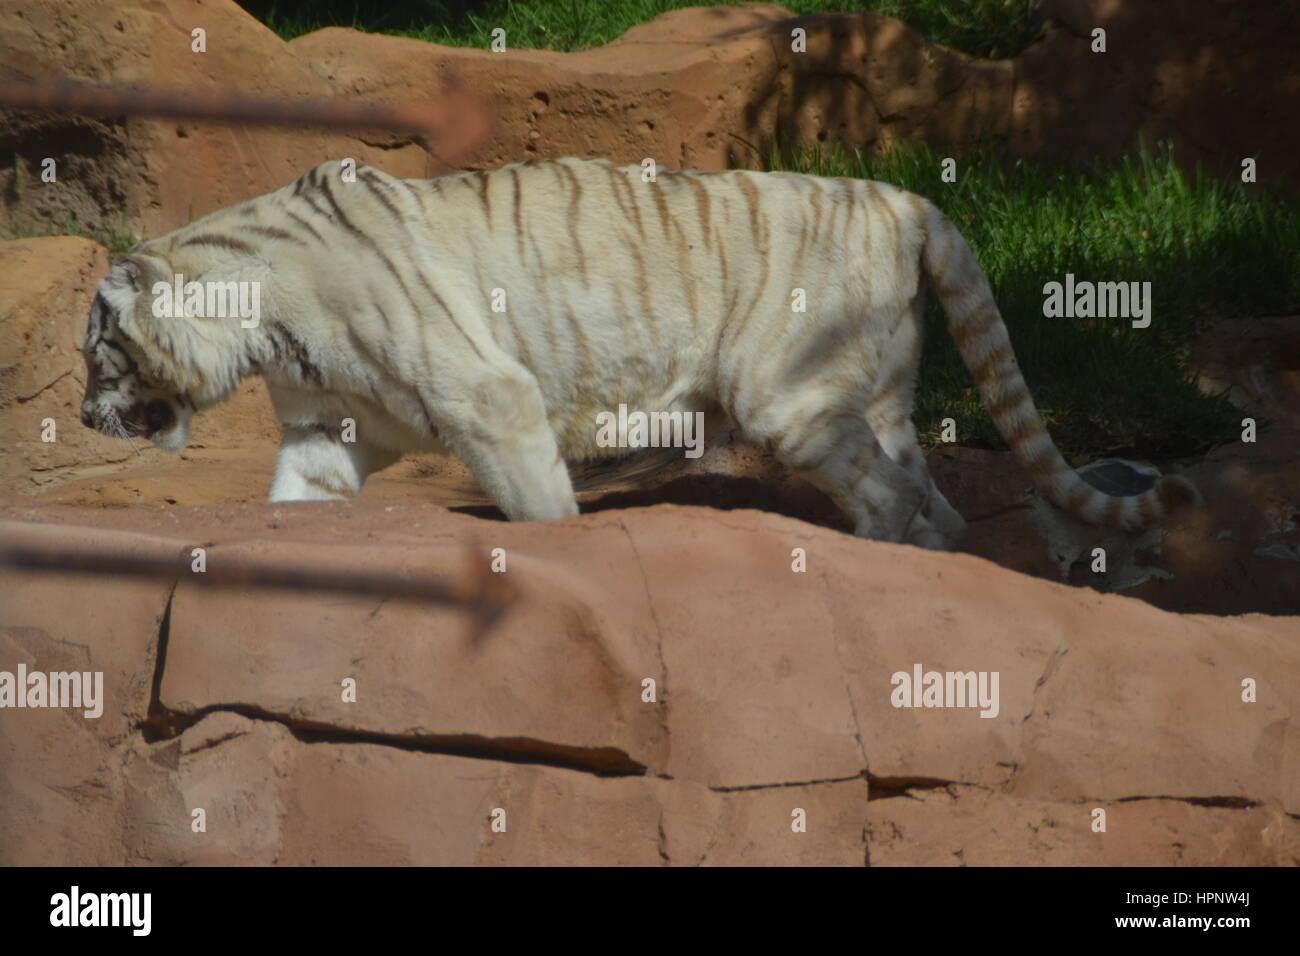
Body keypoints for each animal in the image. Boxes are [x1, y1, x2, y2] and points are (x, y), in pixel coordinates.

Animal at [78, 157, 1198, 549]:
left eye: (99, 354)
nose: (83, 417)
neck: (261, 323)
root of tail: (897, 195)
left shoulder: (492, 399)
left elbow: (537, 505)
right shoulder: (324, 431)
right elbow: (296, 498)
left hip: (788, 390)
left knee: (887, 493)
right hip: (878, 392)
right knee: (933, 494)